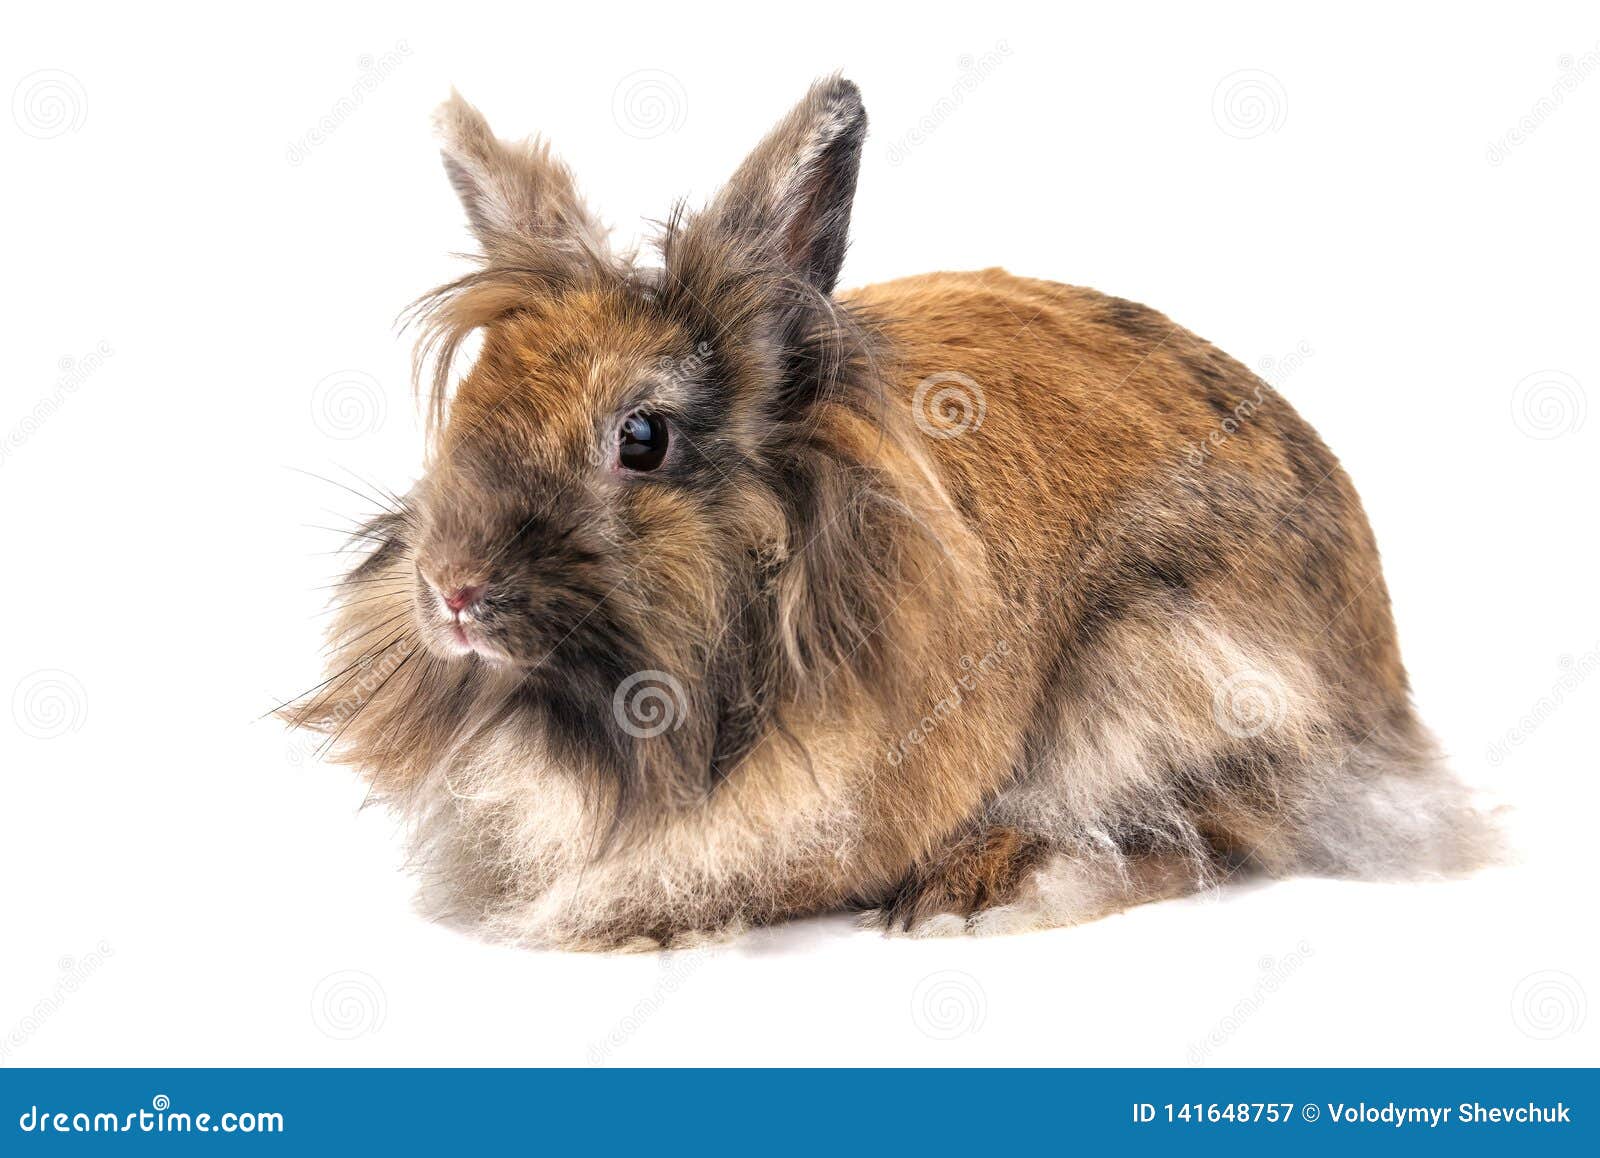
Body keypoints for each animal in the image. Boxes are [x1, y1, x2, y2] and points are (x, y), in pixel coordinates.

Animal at [285, 75, 1498, 950]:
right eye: (467, 412)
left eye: (641, 438)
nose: (450, 592)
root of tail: (1384, 692)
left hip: (1164, 661)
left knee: (1210, 828)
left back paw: (986, 889)